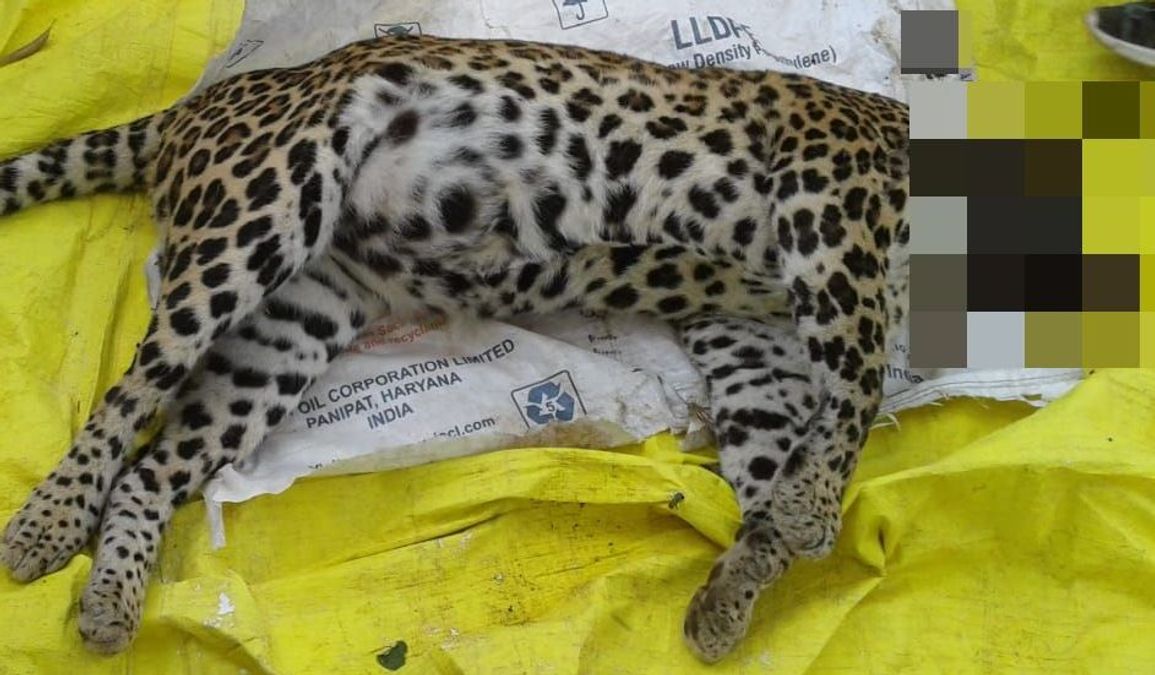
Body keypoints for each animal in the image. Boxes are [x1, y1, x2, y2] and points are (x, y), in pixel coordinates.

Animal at [0, 33, 909, 663]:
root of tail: (203, 102)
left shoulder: (760, 335)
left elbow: (773, 446)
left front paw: (736, 588)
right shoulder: (834, 191)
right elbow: (860, 377)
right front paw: (812, 511)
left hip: (294, 320)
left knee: (152, 464)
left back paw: (110, 601)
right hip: (265, 203)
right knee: (126, 396)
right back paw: (45, 525)